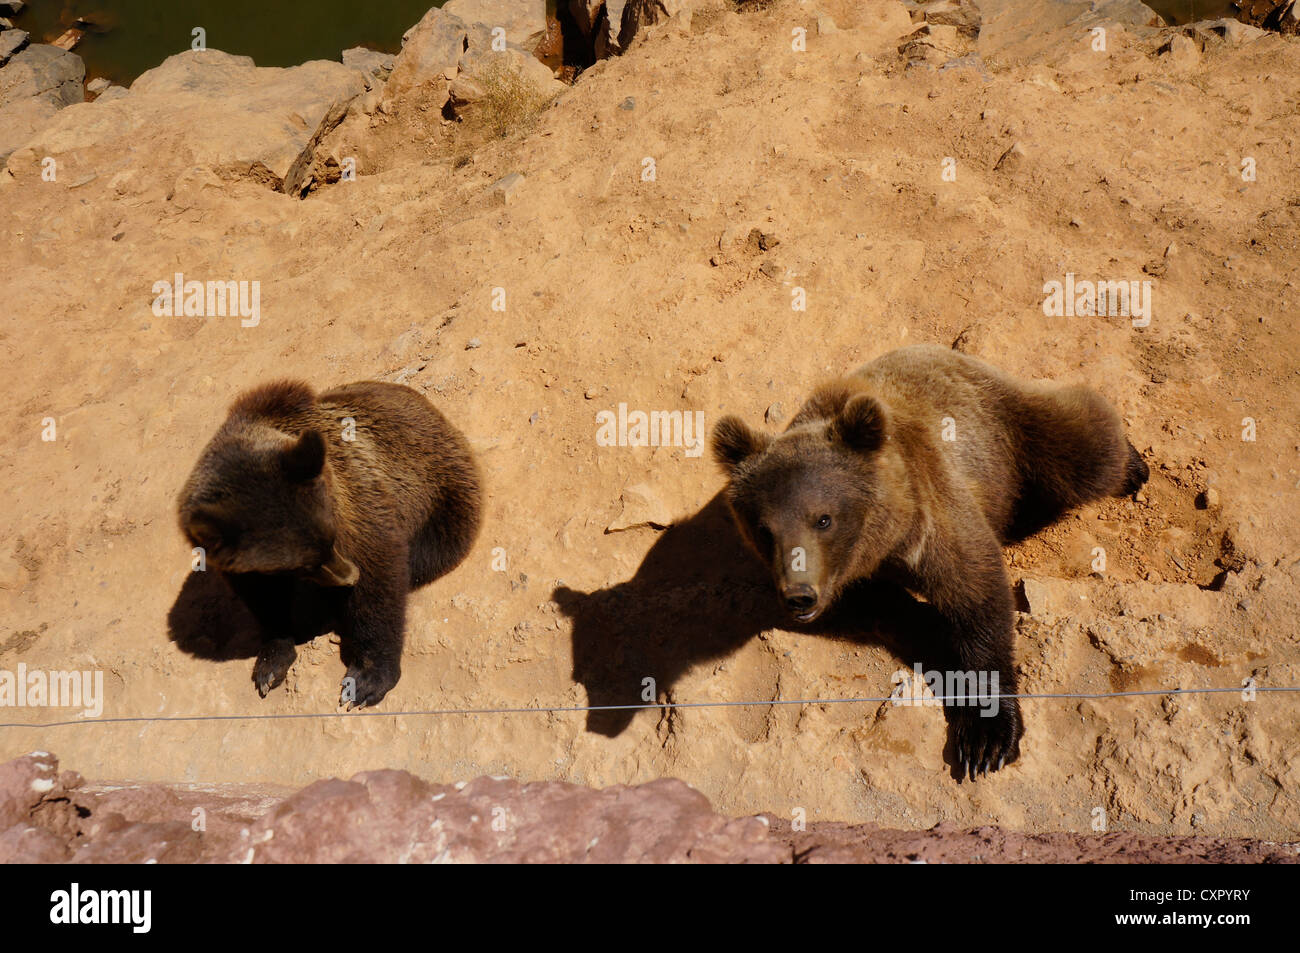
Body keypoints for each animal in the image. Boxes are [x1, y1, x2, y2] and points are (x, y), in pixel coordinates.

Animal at [177, 380, 481, 708]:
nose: (349, 577)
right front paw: (270, 663)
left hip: (445, 495)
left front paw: (366, 679)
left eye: (330, 539)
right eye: (301, 565)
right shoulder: (239, 566)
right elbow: (265, 602)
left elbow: (379, 579)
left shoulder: (356, 500)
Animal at [710, 344, 1148, 779]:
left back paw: (1133, 465)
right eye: (764, 530)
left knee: (1084, 449)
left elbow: (975, 595)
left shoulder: (931, 507)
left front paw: (986, 739)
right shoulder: (857, 573)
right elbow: (888, 608)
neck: (881, 539)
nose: (799, 595)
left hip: (1009, 425)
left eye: (823, 518)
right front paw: (931, 631)